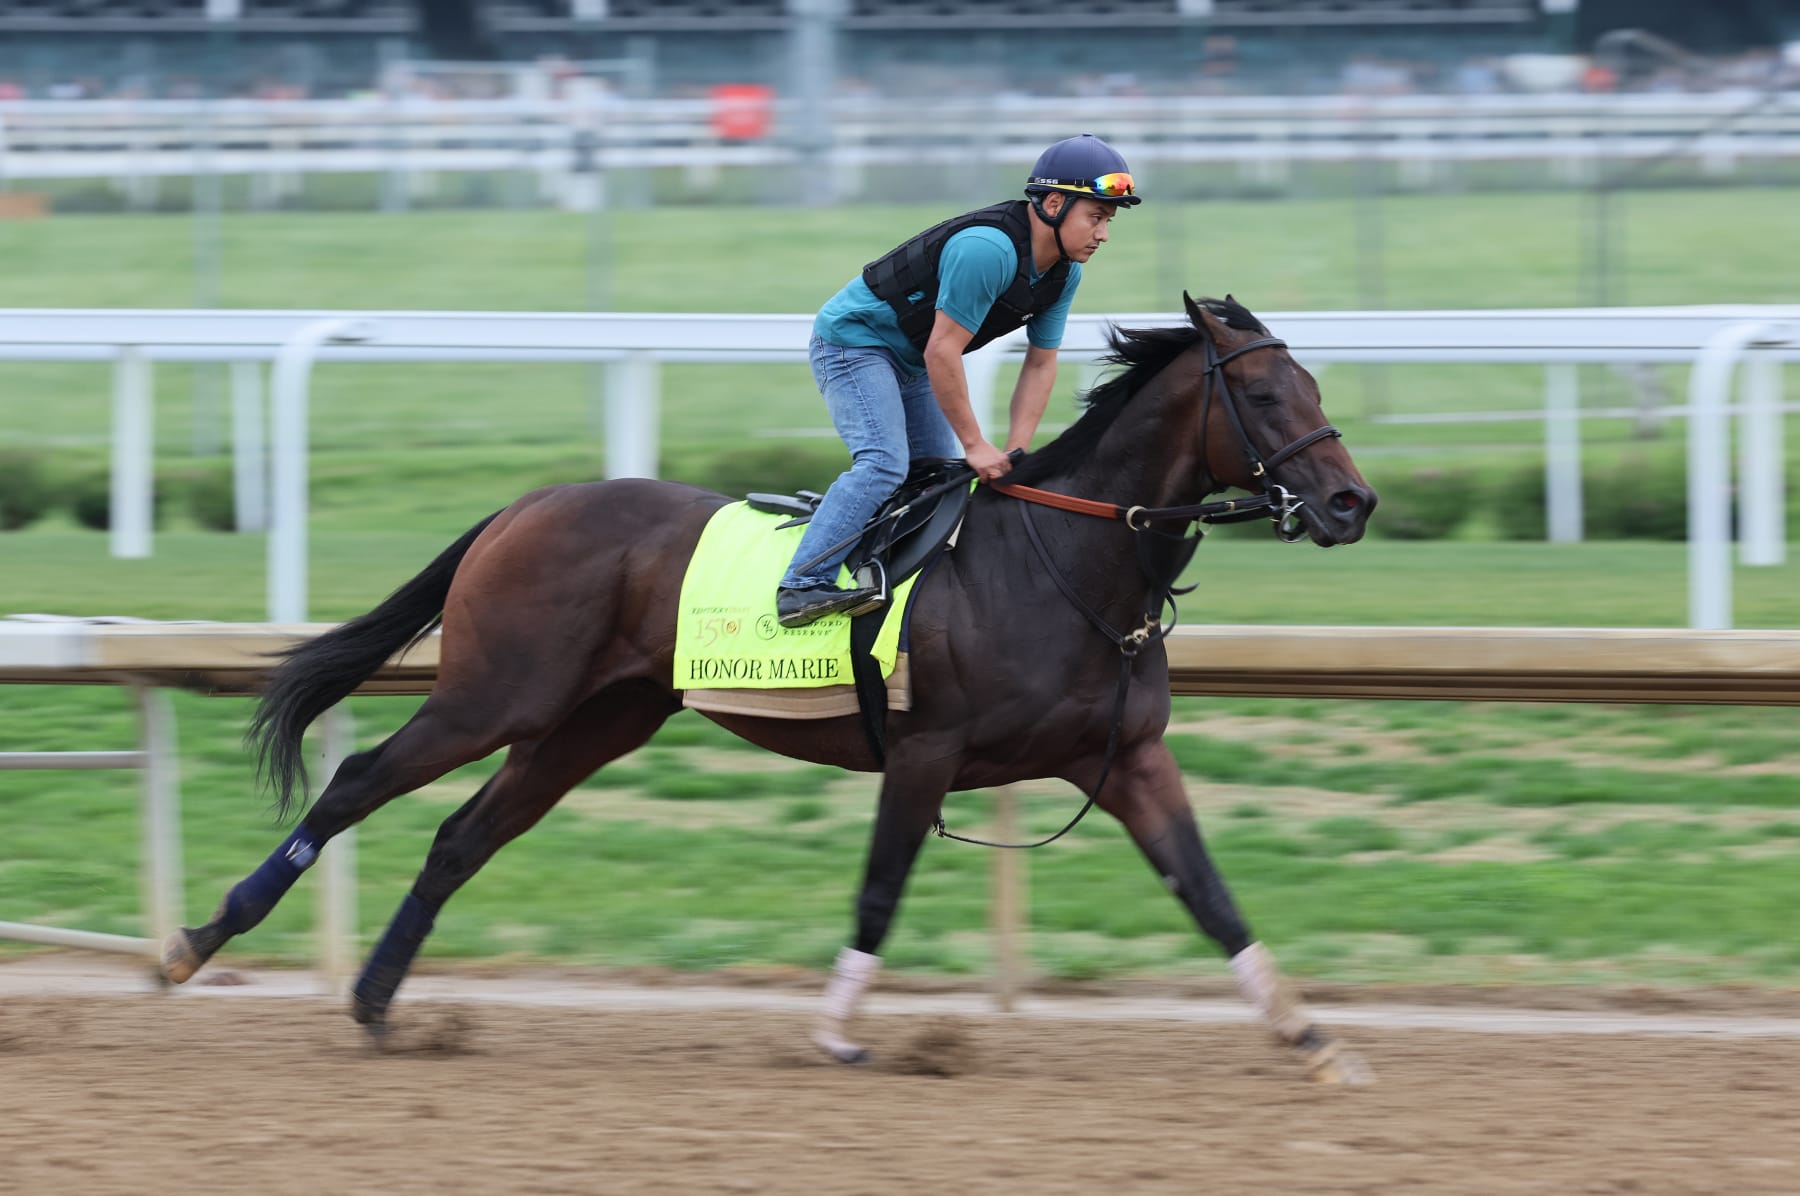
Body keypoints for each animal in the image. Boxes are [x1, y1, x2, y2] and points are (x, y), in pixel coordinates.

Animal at [163, 293, 1378, 1083]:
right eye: (1262, 390)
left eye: (1316, 381)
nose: (1352, 503)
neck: (1063, 562)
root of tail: (527, 502)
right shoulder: (926, 751)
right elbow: (880, 892)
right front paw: (837, 1031)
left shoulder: (1124, 758)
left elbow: (1209, 892)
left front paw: (1311, 1036)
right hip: (496, 694)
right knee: (360, 780)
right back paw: (200, 941)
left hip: (592, 722)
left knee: (462, 836)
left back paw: (377, 1003)